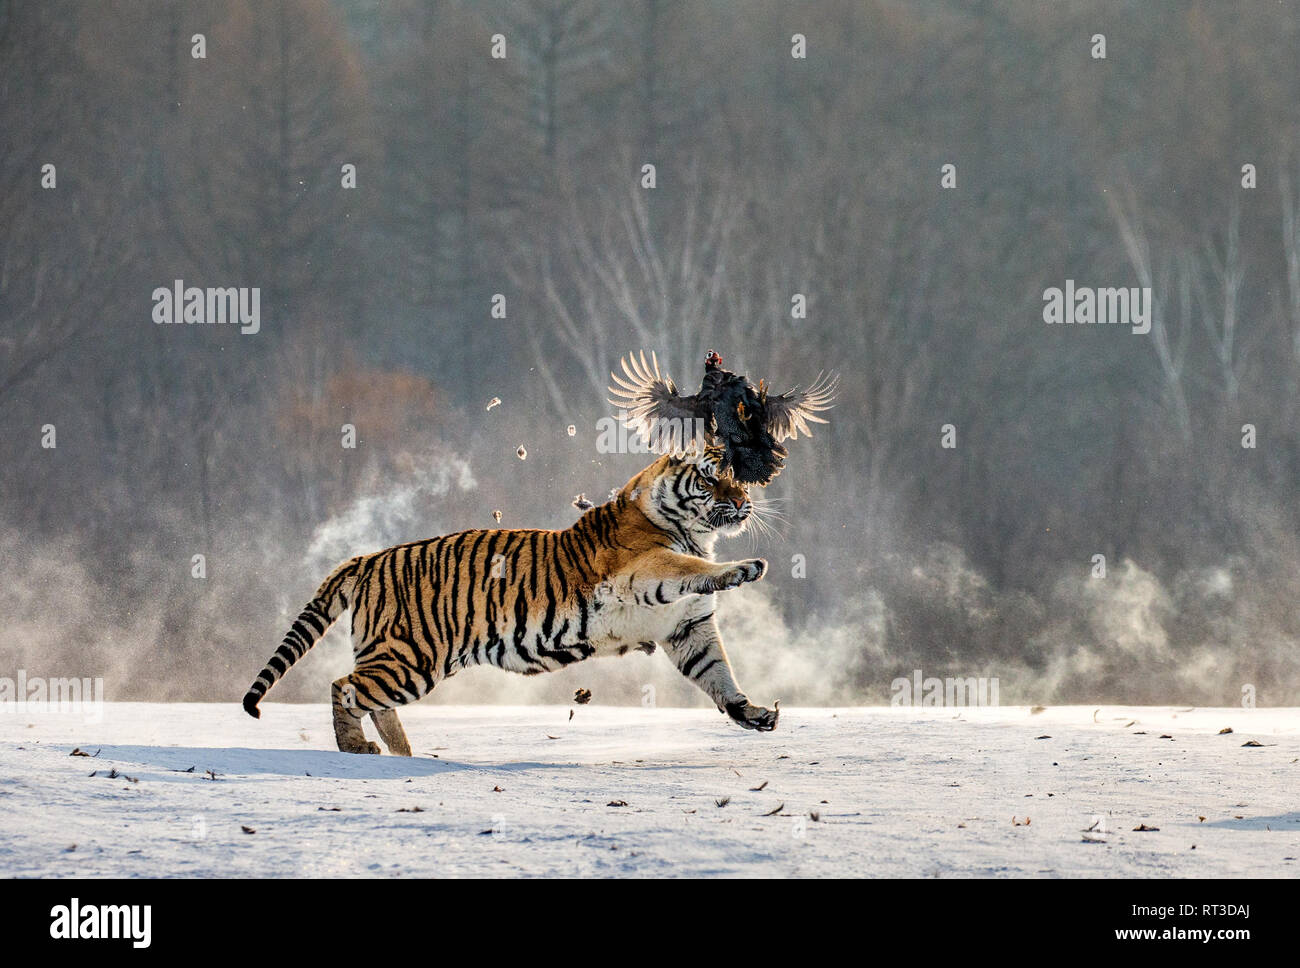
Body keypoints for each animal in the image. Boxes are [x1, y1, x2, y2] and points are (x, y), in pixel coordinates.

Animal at [242, 446, 779, 755]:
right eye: (709, 478)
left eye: (738, 478)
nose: (744, 502)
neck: (697, 533)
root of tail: (369, 557)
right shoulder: (644, 568)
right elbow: (689, 569)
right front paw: (744, 568)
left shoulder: (687, 628)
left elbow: (718, 675)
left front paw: (751, 713)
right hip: (410, 657)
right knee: (344, 686)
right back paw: (357, 749)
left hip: (409, 661)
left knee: (370, 699)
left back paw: (403, 751)